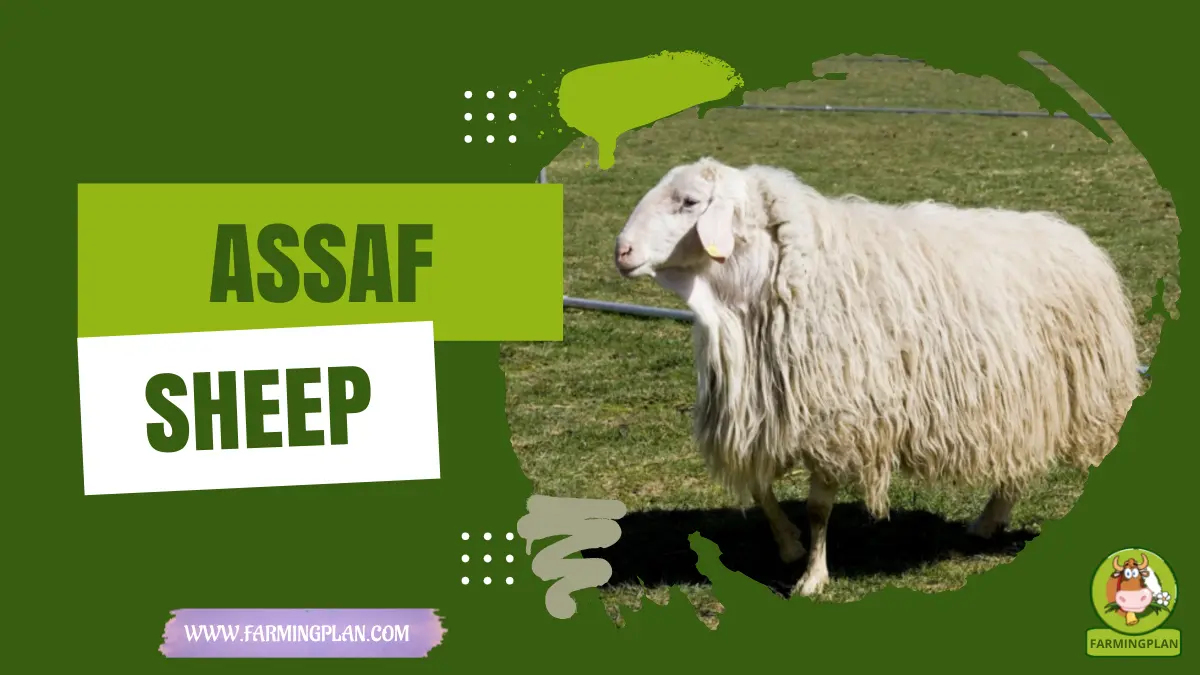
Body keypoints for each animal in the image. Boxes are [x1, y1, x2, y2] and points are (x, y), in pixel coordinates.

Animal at [612, 156, 1144, 597]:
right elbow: (763, 490)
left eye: (689, 202)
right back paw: (987, 523)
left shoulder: (835, 418)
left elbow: (818, 509)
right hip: (1023, 399)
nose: (622, 251)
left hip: (1090, 393)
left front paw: (812, 577)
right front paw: (788, 546)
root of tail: (1073, 236)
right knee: (1015, 468)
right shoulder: (767, 410)